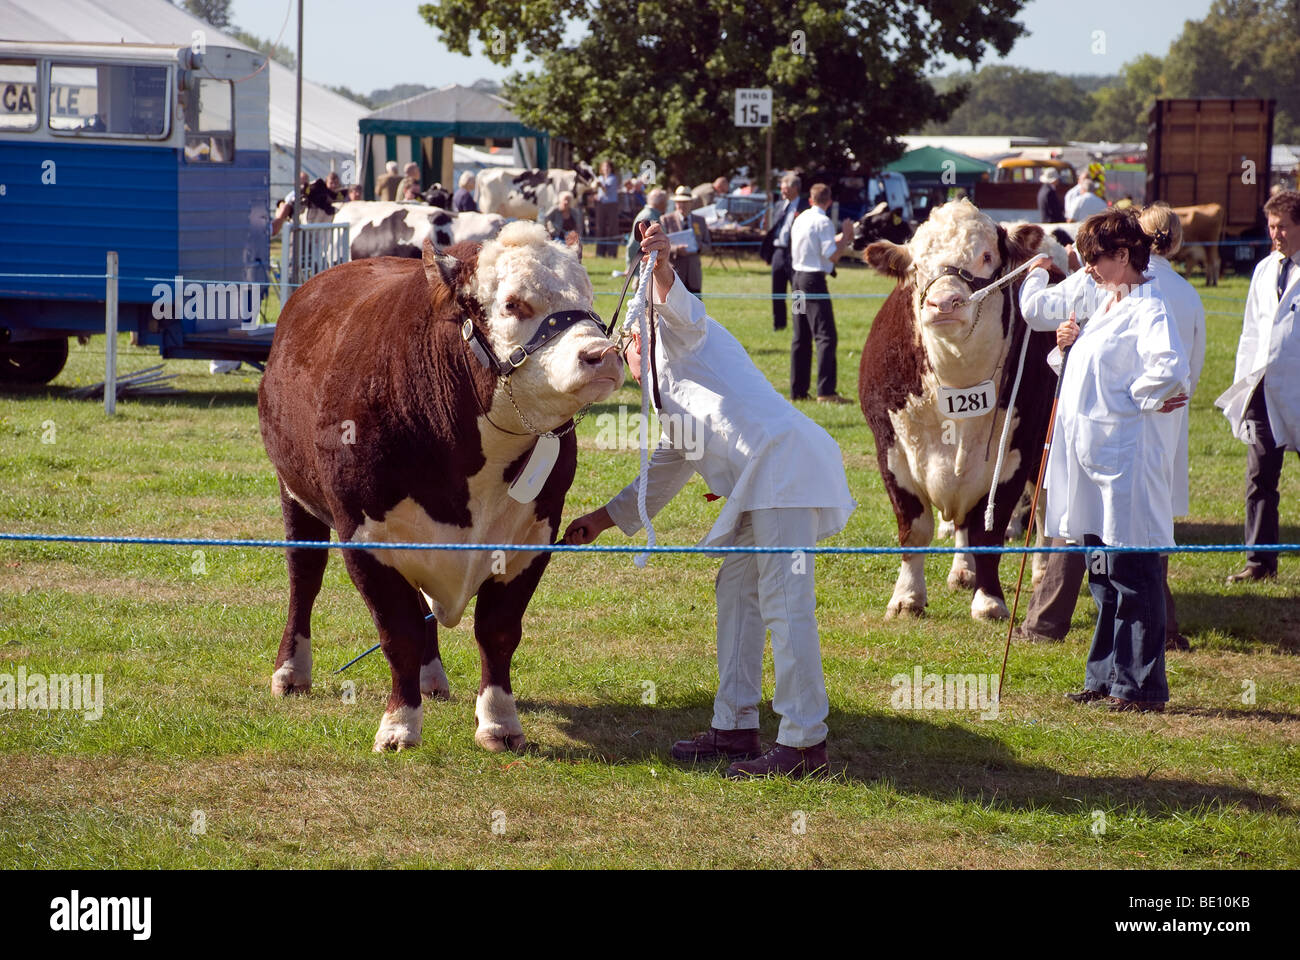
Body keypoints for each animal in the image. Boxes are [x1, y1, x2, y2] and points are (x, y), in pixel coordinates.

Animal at [258, 222, 624, 752]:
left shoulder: (533, 538)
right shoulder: (364, 538)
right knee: (304, 578)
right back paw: (292, 672)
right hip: (295, 494)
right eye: (513, 304)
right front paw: (398, 726)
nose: (603, 354)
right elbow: (399, 632)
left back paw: (431, 679)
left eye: (588, 297)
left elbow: (497, 631)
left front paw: (499, 723)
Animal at [859, 198, 1058, 620]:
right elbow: (915, 528)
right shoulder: (891, 450)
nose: (944, 303)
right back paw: (963, 572)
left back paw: (1041, 569)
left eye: (986, 256)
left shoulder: (1015, 453)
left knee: (1044, 508)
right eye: (916, 265)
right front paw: (907, 597)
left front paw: (989, 600)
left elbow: (990, 530)